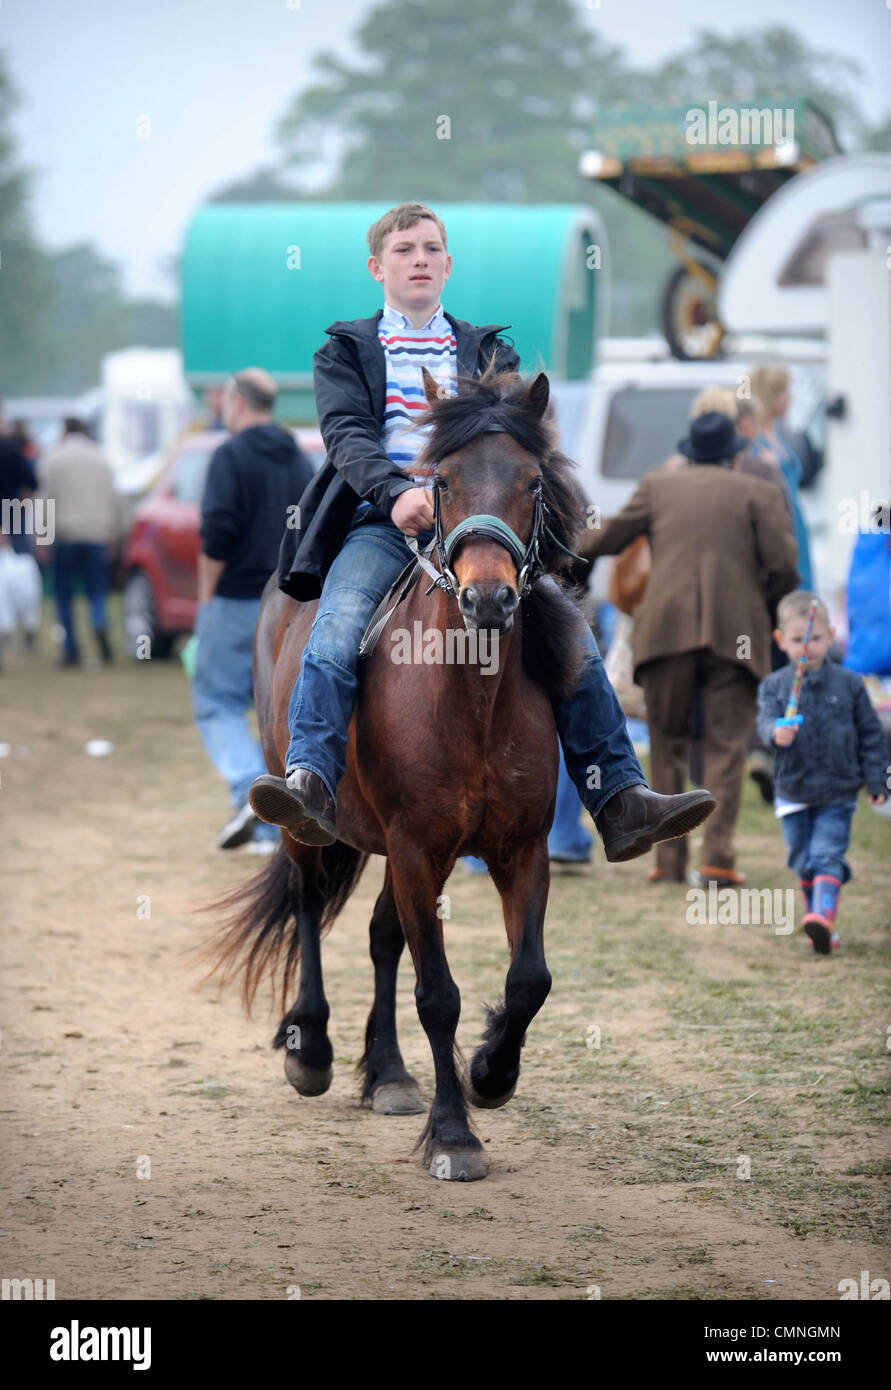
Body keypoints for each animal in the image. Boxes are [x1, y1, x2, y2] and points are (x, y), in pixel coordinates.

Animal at [203, 363, 591, 1181]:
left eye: (533, 482)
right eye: (439, 481)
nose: (487, 597)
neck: (470, 702)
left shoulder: (517, 848)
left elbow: (529, 979)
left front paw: (490, 1073)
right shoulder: (416, 847)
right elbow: (436, 993)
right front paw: (453, 1136)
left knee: (383, 936)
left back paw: (387, 1073)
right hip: (311, 820)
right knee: (310, 904)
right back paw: (312, 1048)